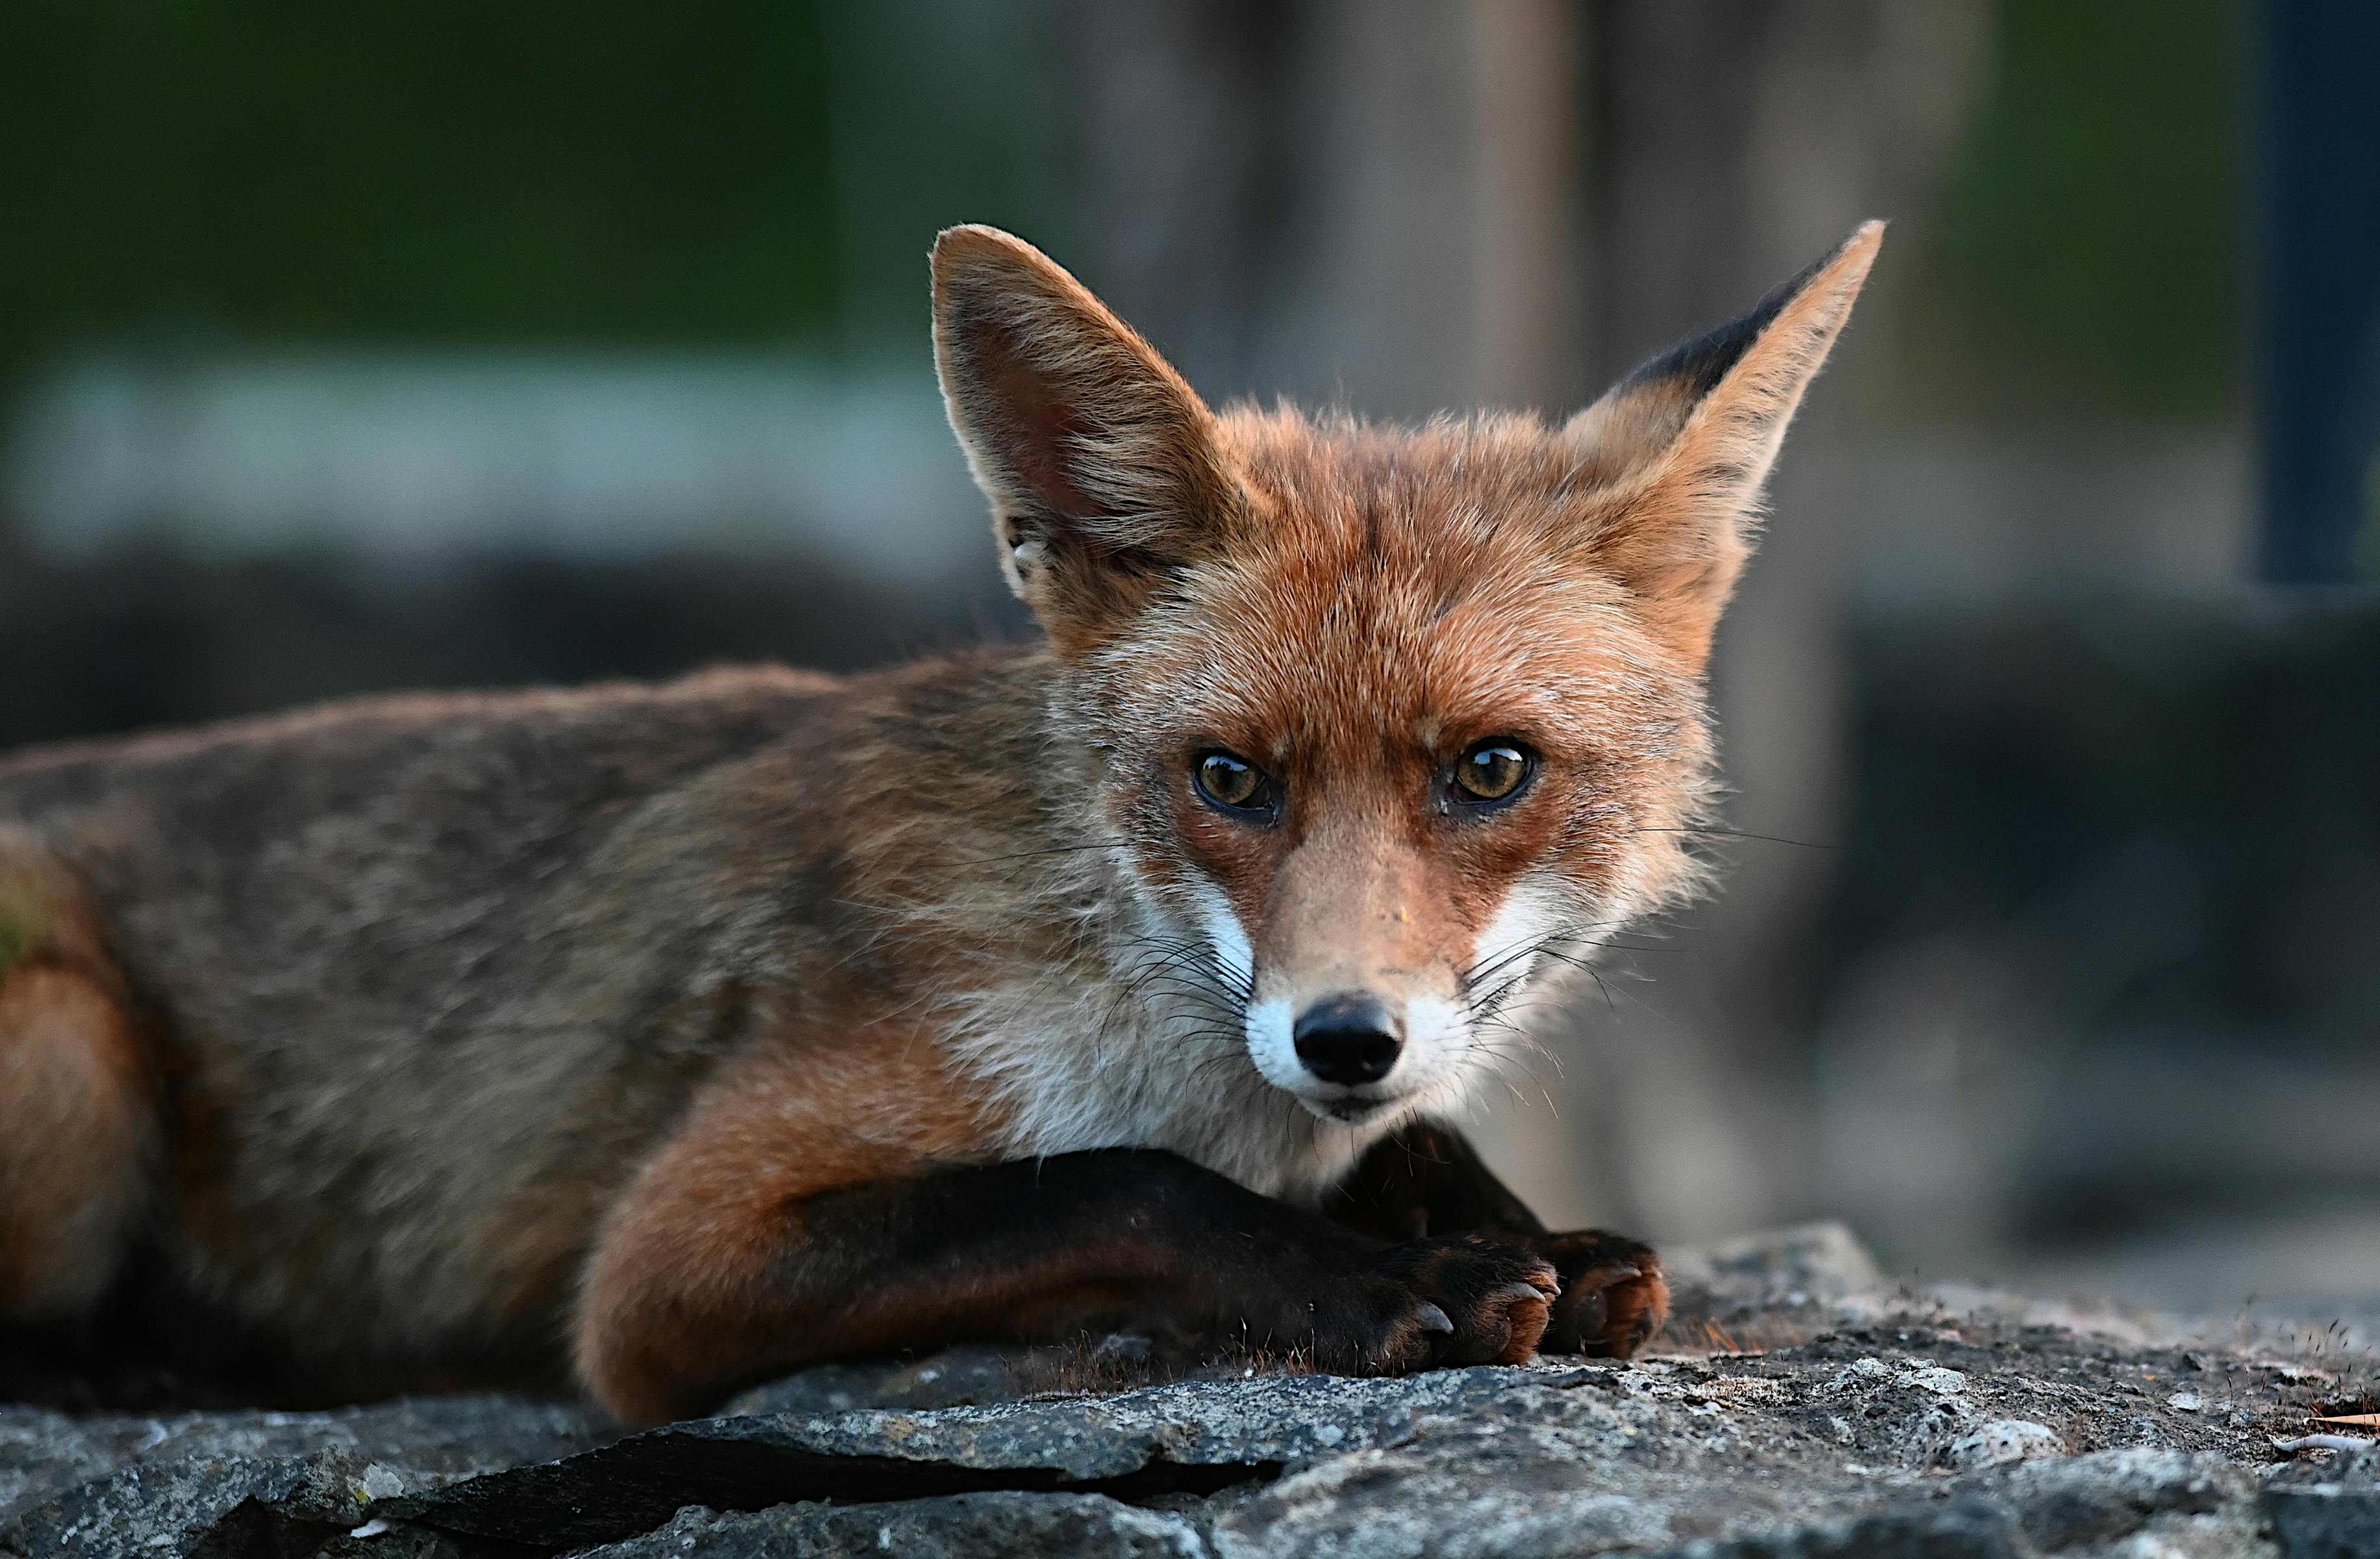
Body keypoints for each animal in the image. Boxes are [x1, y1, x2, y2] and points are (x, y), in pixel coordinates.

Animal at [0, 221, 1879, 1425]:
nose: (1344, 1035)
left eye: (1489, 771)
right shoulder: (663, 1266)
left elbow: (1408, 1146)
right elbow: (1106, 1184)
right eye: (1229, 779)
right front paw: (1364, 1278)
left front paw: (1508, 1227)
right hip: (75, 1052)